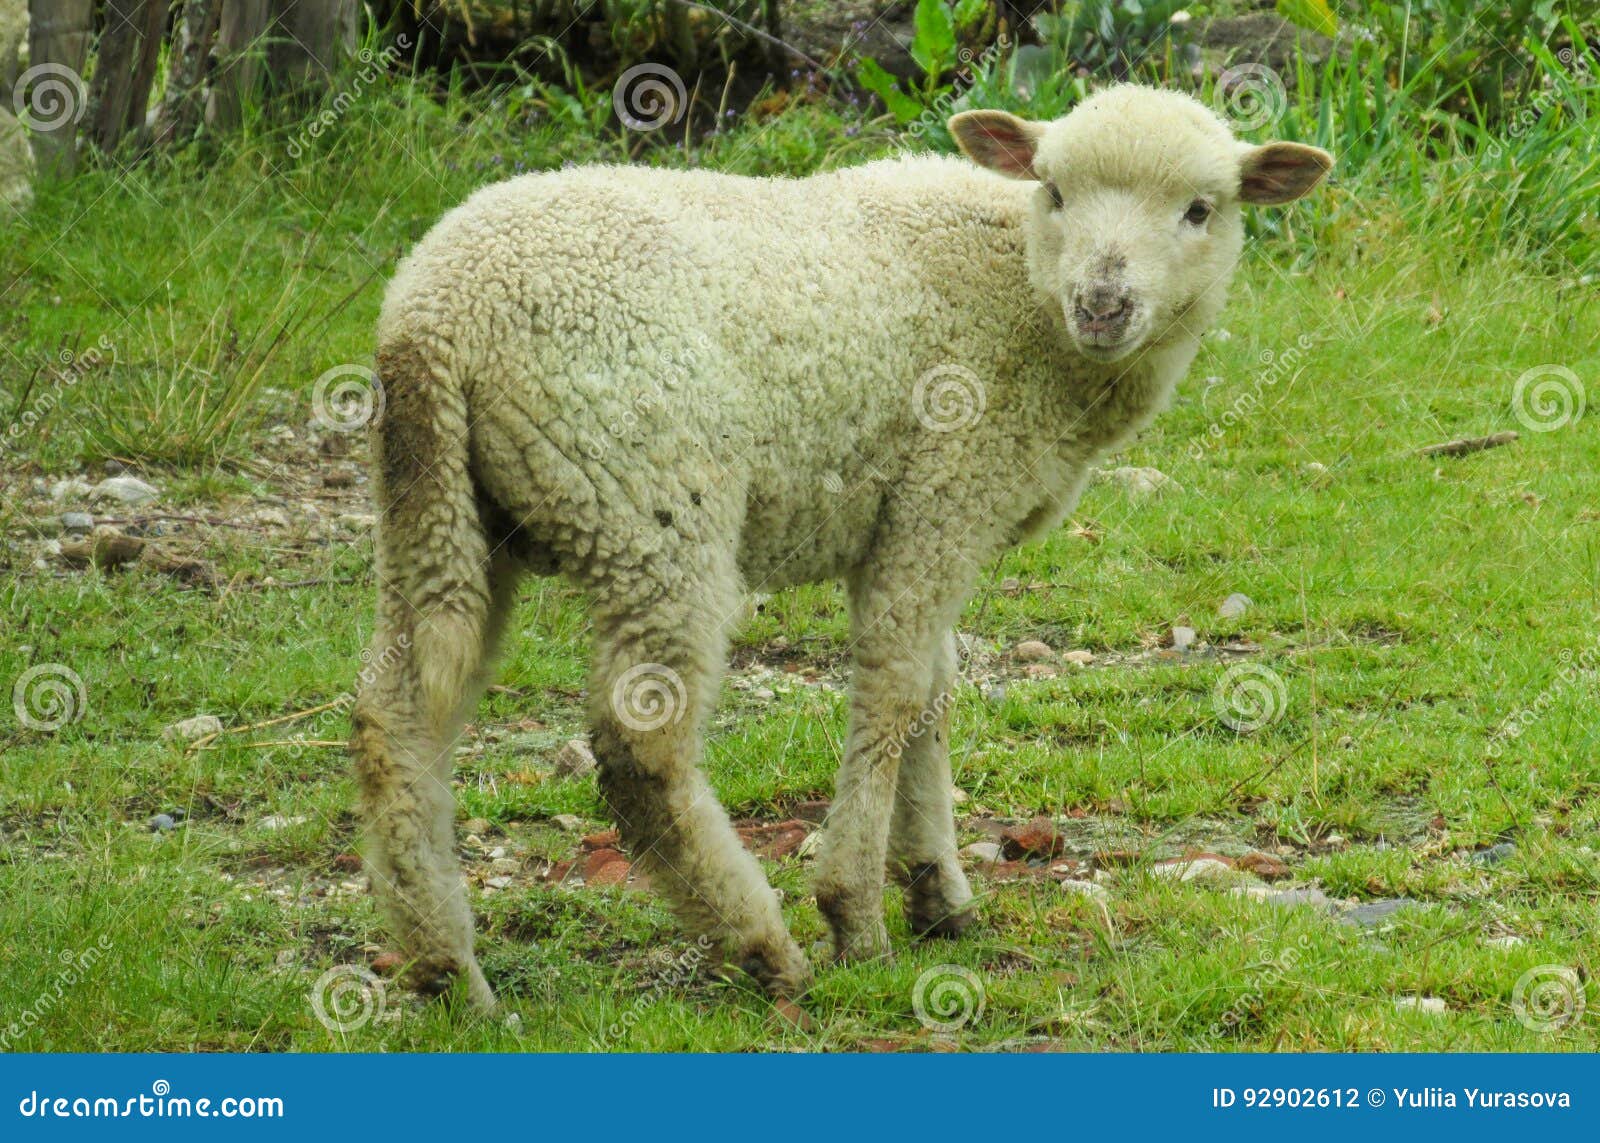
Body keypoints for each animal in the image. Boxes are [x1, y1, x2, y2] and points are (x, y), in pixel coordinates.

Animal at [351, 83, 1331, 1011]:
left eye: (1200, 209)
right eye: (1054, 191)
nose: (1101, 305)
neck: (1021, 289)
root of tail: (433, 317)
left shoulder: (921, 518)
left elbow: (936, 690)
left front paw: (938, 889)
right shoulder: (946, 492)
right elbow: (897, 691)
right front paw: (857, 912)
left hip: (444, 515)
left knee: (393, 717)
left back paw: (450, 970)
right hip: (650, 505)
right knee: (642, 747)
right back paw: (760, 944)